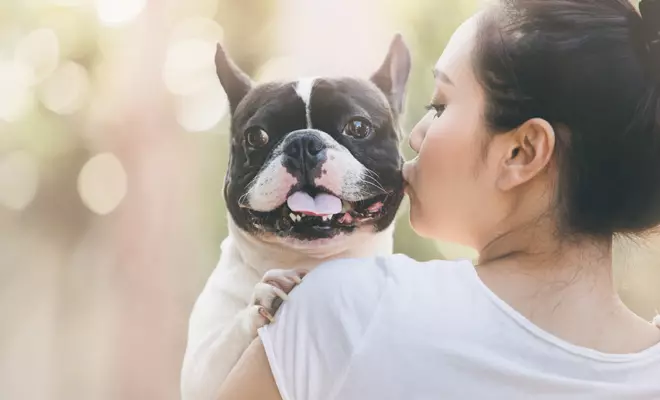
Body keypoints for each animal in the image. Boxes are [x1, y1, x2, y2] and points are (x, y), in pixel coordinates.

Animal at [178, 34, 410, 400]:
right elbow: (220, 349)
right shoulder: (200, 373)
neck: (306, 260)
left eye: (357, 127)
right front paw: (264, 298)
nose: (303, 142)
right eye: (256, 136)